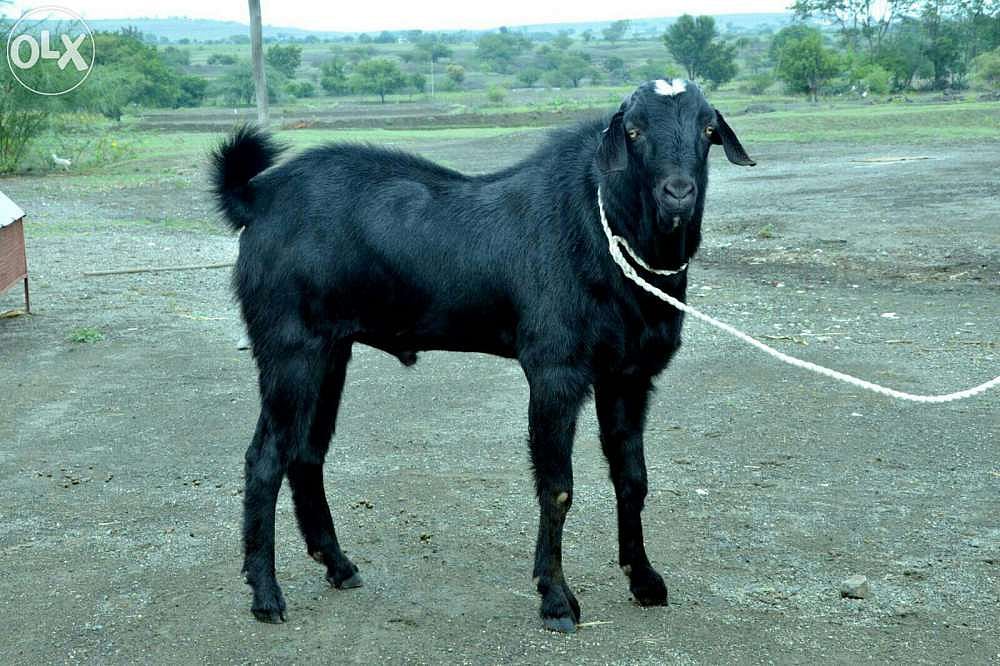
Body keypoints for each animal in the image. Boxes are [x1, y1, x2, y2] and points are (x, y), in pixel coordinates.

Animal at [210, 79, 755, 633]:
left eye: (708, 129)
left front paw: (644, 580)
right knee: (265, 458)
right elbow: (557, 486)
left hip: (330, 351)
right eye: (634, 130)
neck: (601, 232)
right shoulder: (555, 370)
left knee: (306, 452)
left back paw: (339, 566)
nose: (678, 193)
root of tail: (256, 199)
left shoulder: (629, 374)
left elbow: (633, 479)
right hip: (288, 347)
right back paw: (266, 595)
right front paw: (556, 600)